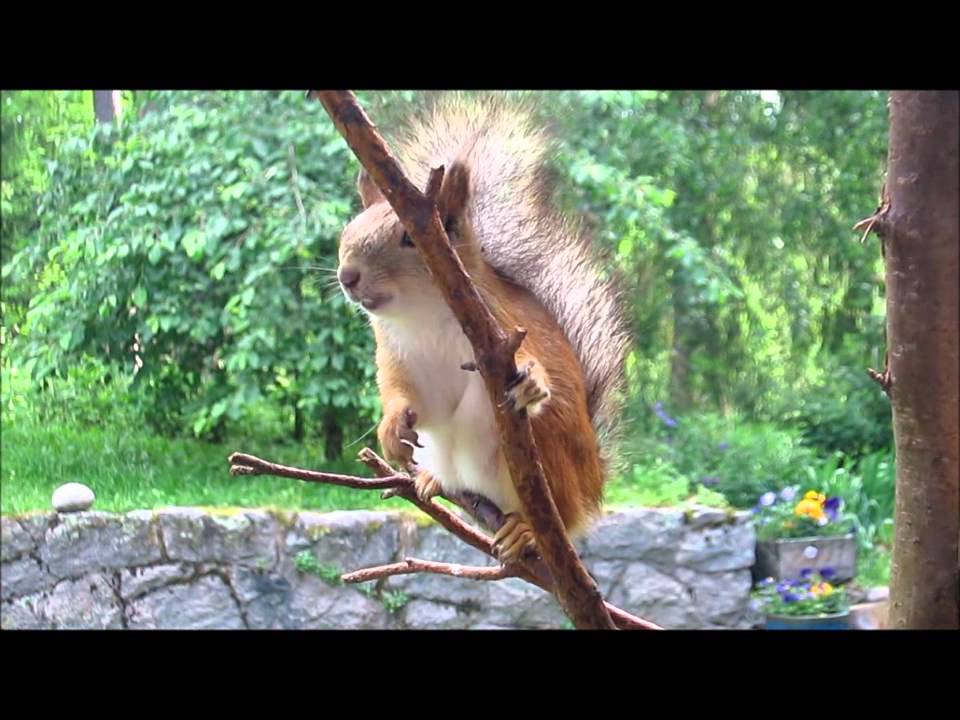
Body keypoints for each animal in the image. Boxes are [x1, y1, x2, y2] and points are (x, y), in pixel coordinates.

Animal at [336, 93, 630, 564]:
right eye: (347, 230)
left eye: (410, 237)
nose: (348, 276)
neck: (422, 315)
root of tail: (591, 486)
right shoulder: (395, 354)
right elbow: (406, 395)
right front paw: (391, 428)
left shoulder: (501, 329)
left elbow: (530, 361)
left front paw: (531, 381)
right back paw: (433, 480)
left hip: (545, 456)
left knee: (558, 513)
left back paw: (527, 529)